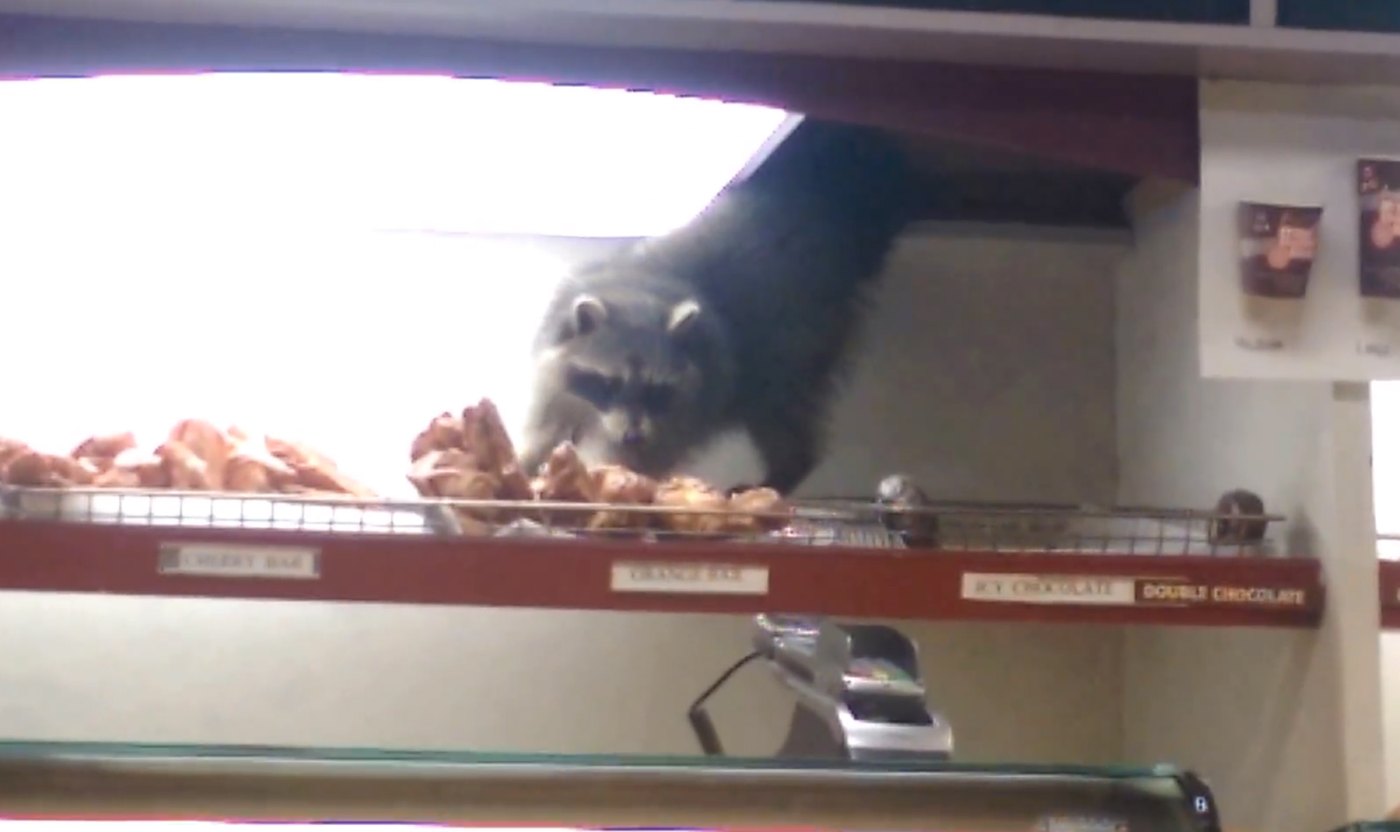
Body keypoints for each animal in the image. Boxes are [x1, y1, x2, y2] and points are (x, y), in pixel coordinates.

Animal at [520, 121, 915, 494]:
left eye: (655, 389)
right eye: (610, 382)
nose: (633, 435)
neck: (636, 294)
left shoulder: (687, 403)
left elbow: (642, 455)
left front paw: (602, 473)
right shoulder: (557, 361)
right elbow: (545, 423)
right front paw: (529, 457)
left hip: (795, 345)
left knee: (778, 410)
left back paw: (787, 469)